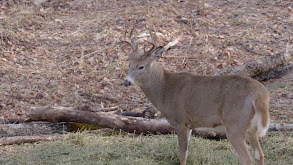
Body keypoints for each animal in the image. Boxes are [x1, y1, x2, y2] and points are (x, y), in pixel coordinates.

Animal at [121, 32, 270, 165]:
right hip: (251, 126)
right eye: (129, 64)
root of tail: (260, 93)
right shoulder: (190, 124)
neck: (165, 90)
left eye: (141, 66)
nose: (126, 81)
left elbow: (182, 153)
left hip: (235, 122)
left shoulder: (180, 120)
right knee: (260, 155)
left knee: (247, 158)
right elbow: (186, 152)